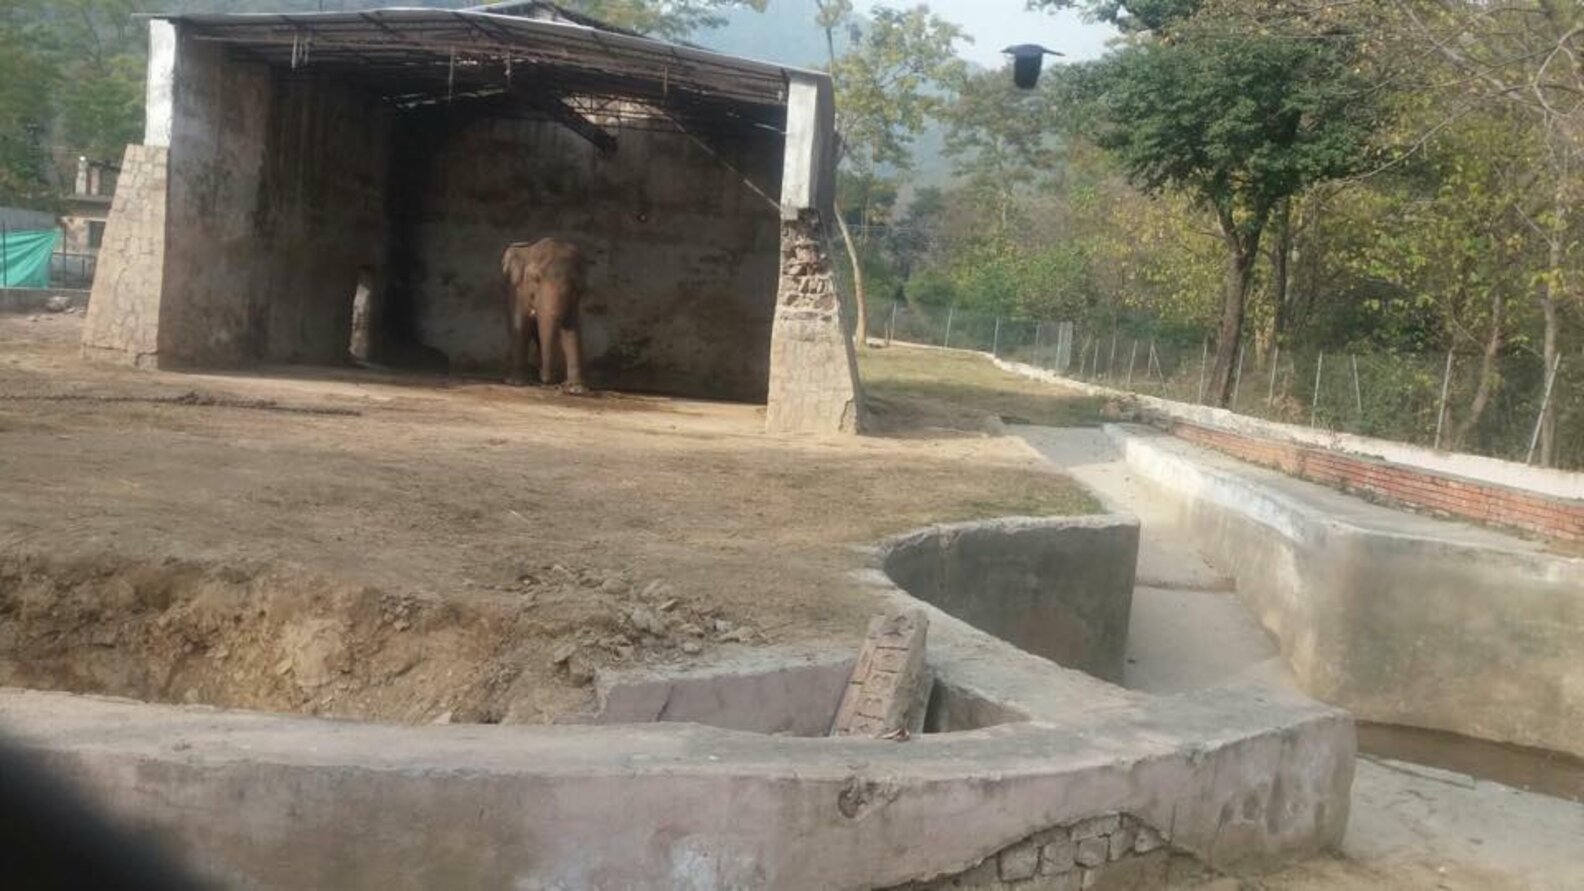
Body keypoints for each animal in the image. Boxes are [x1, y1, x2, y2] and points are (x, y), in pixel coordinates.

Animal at [501, 238, 588, 394]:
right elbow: (521, 324)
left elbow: (571, 330)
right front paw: (517, 383)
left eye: (579, 287)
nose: (545, 379)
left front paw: (576, 389)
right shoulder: (518, 289)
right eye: (535, 279)